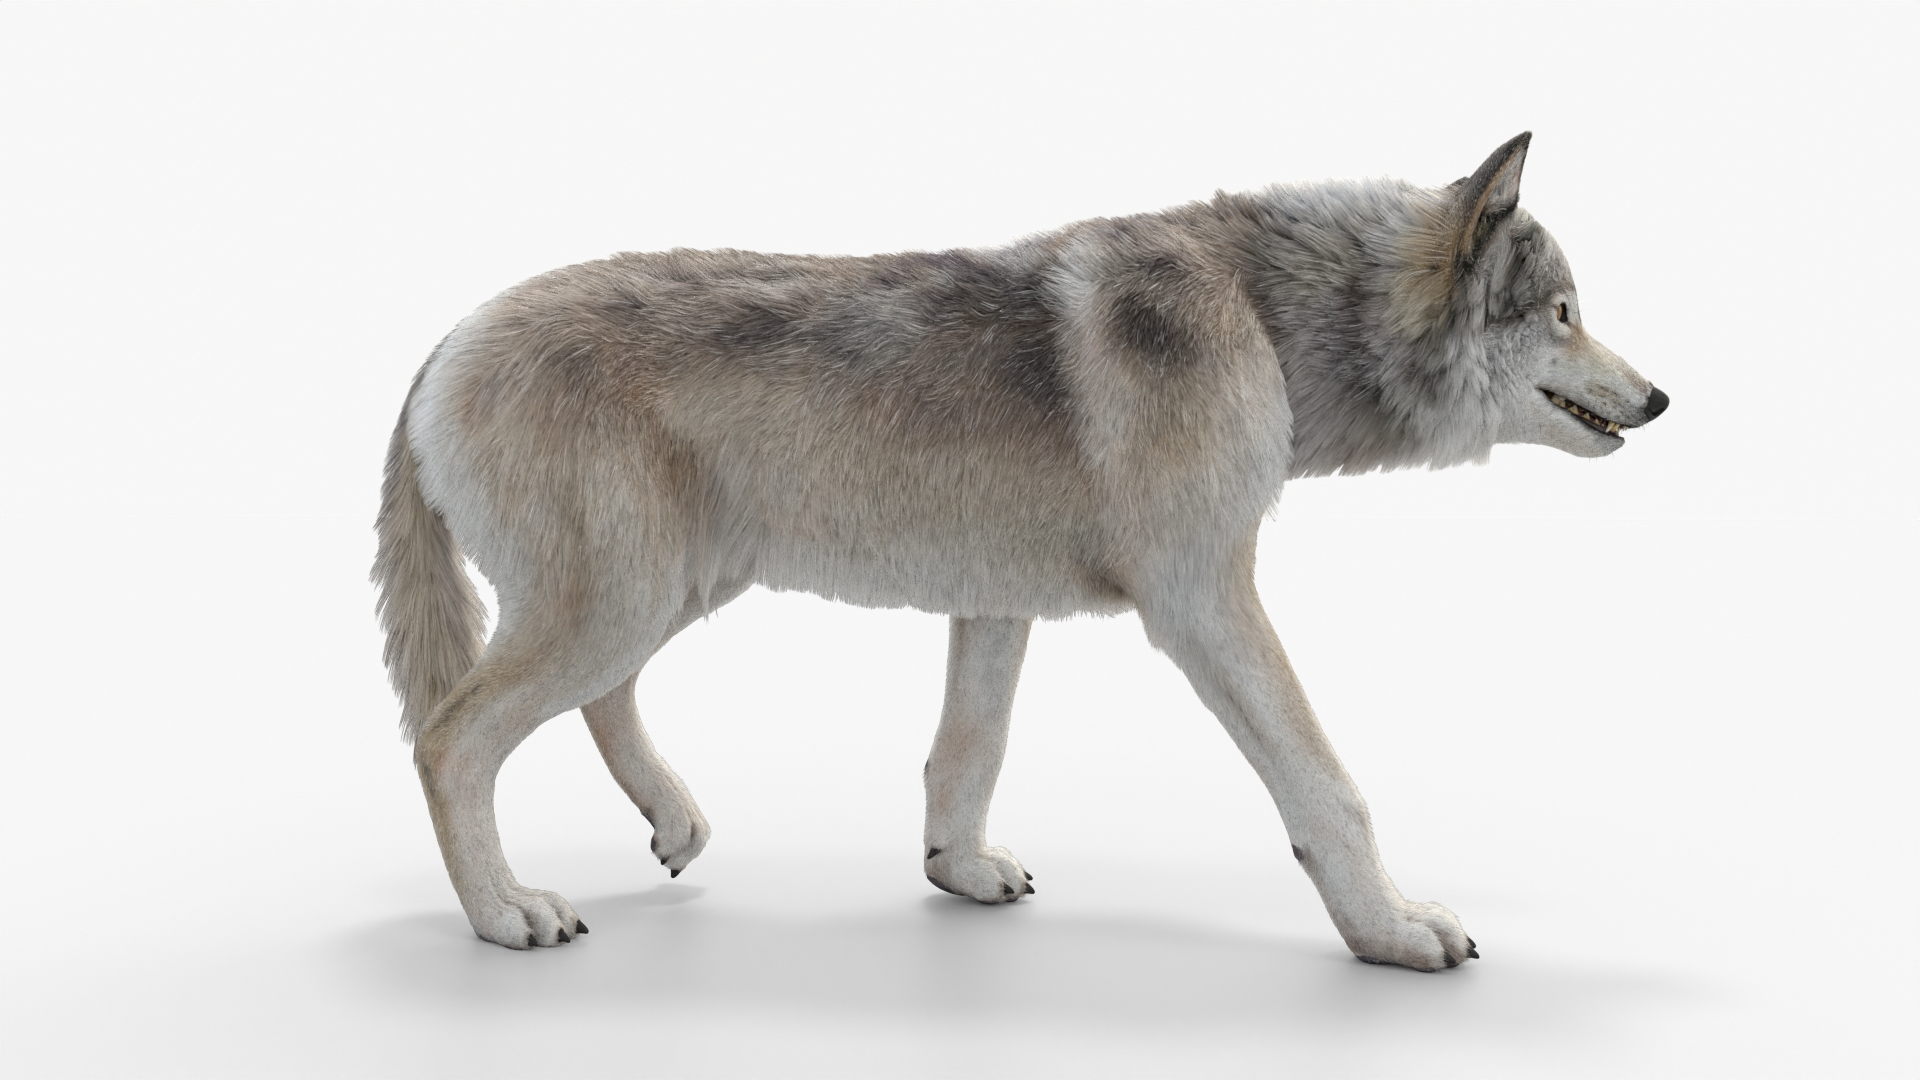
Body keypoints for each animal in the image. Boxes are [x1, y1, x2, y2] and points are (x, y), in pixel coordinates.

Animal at [374, 133, 1666, 970]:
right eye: (1564, 313)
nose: (1659, 398)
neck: (1264, 322)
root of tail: (441, 339)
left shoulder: (997, 603)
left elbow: (967, 755)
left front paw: (958, 871)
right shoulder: (1206, 602)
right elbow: (1326, 784)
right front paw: (1392, 932)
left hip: (666, 593)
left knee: (598, 702)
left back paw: (675, 825)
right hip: (625, 601)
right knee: (446, 740)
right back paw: (504, 915)